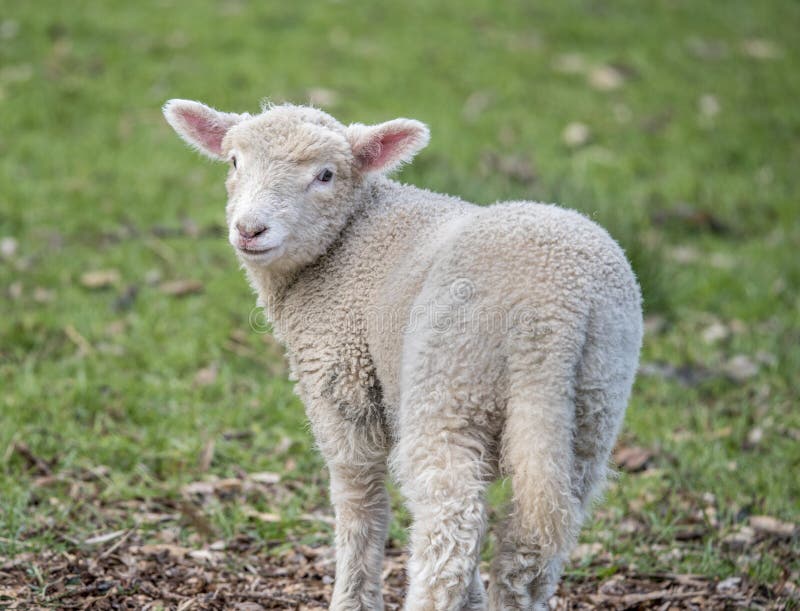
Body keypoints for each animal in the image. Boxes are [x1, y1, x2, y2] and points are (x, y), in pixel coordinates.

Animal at [163, 99, 643, 611]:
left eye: (326, 175)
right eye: (234, 163)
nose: (249, 229)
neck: (348, 239)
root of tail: (552, 311)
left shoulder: (341, 381)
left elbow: (361, 502)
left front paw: (352, 599)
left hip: (448, 383)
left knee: (449, 522)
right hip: (593, 400)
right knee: (535, 537)